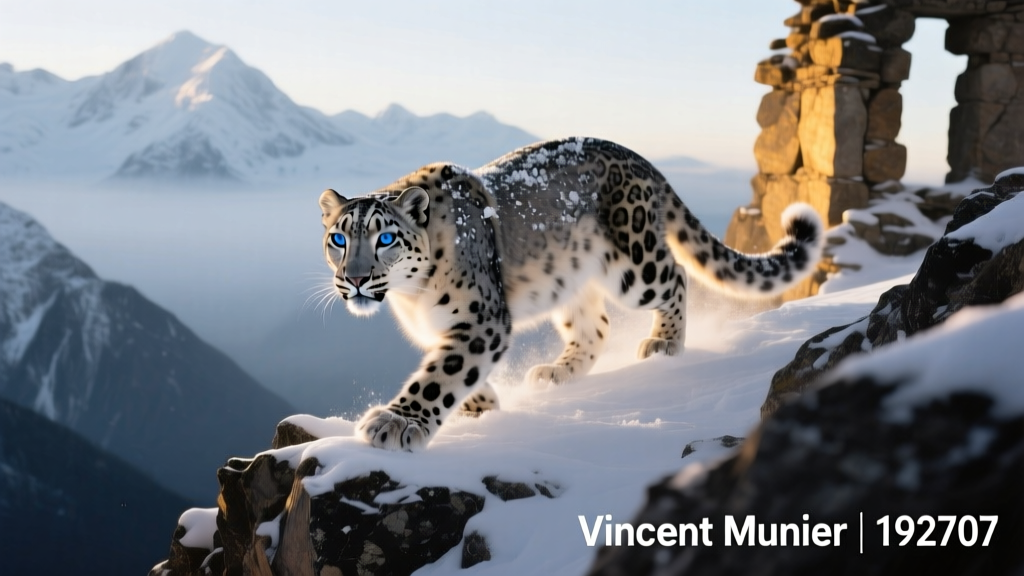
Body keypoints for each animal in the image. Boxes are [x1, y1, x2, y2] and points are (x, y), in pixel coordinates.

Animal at [318, 137, 822, 451]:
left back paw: (664, 343)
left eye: (386, 238)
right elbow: (456, 370)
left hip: (634, 265)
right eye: (338, 238)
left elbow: (442, 374)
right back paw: (556, 372)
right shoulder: (441, 329)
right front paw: (485, 408)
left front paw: (396, 422)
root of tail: (639, 157)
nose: (355, 279)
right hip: (569, 282)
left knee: (676, 275)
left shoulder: (481, 320)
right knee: (594, 326)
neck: (412, 297)